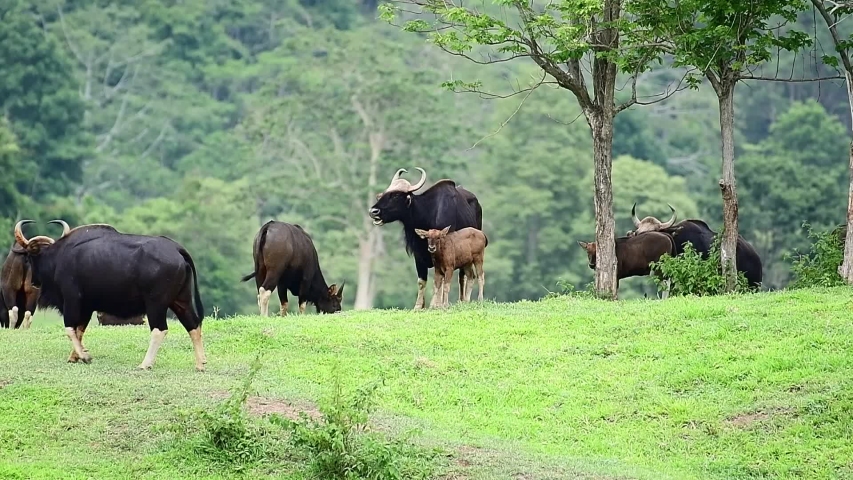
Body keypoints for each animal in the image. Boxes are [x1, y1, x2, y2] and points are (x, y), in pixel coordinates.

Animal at [13, 220, 206, 371]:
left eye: (30, 257)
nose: (34, 282)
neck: (60, 256)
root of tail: (177, 249)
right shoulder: (87, 306)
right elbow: (80, 329)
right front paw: (76, 356)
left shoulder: (72, 300)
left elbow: (70, 329)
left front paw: (85, 356)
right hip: (181, 301)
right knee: (193, 324)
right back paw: (200, 364)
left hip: (155, 304)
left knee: (160, 330)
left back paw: (145, 364)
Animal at [368, 167, 486, 309]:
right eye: (384, 194)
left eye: (396, 195)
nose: (373, 211)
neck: (427, 213)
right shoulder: (418, 256)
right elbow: (422, 281)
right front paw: (419, 306)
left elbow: (439, 281)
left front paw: (436, 304)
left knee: (462, 276)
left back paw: (462, 300)